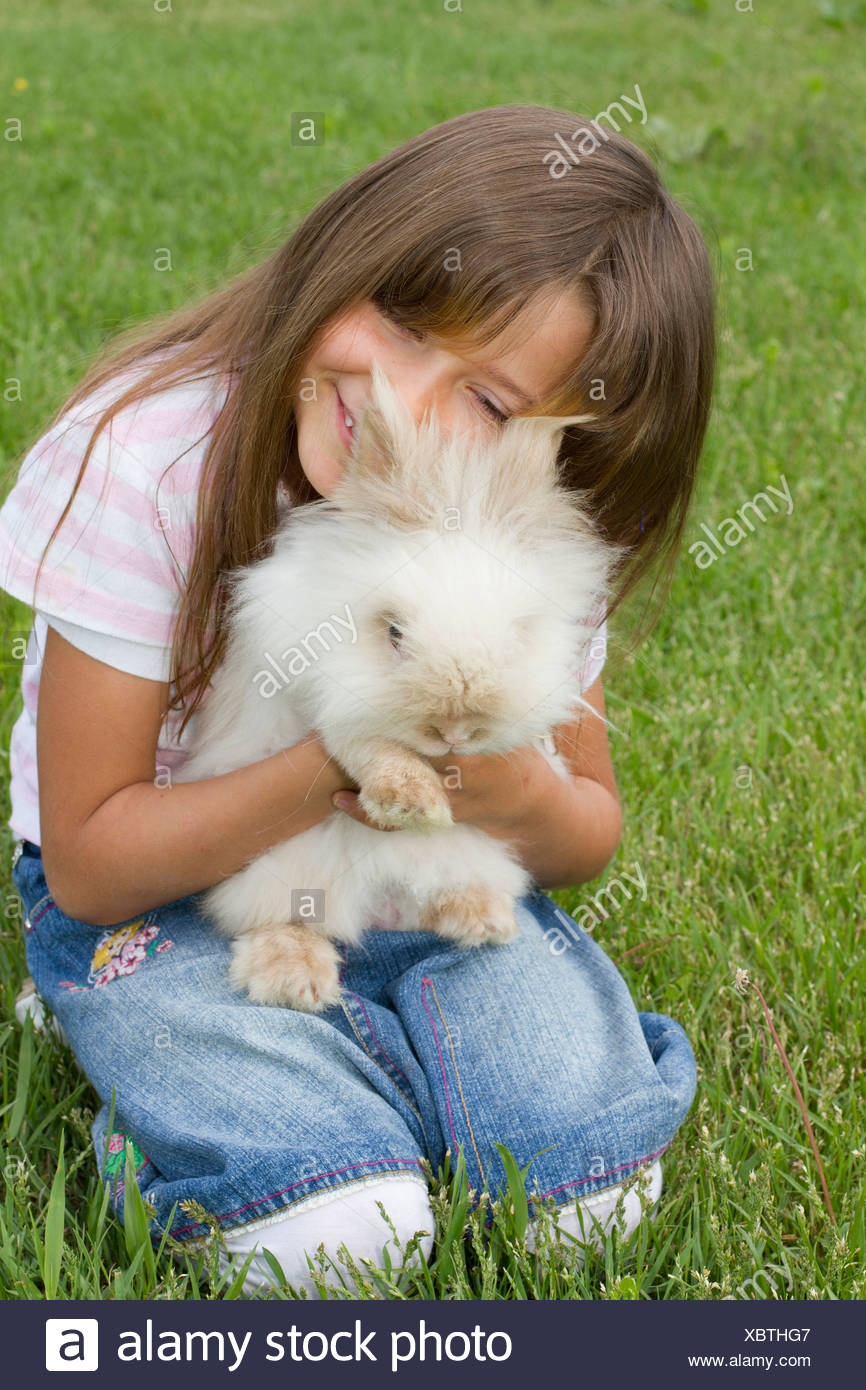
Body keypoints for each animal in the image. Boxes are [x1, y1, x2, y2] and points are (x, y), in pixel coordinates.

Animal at [176, 362, 622, 1012]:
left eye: (518, 636)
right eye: (392, 633)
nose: (456, 729)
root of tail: (379, 902)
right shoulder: (315, 685)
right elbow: (359, 737)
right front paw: (411, 801)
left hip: (472, 856)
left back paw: (482, 920)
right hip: (274, 871)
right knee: (279, 919)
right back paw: (294, 979)